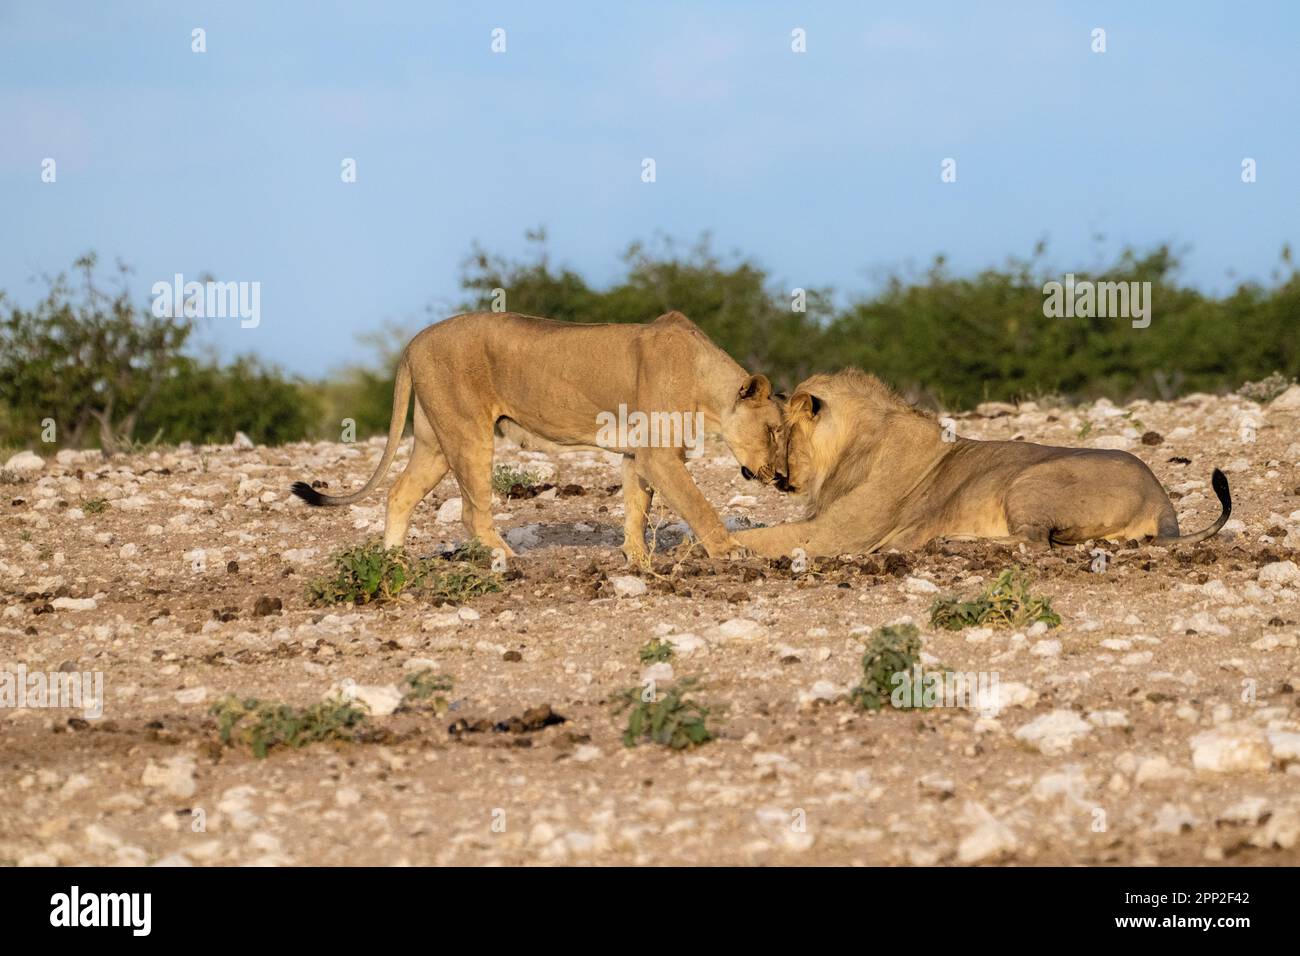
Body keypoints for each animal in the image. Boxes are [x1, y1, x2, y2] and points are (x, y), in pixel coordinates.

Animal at [291, 311, 785, 561]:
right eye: (774, 430)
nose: (780, 477)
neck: (707, 385)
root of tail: (413, 341)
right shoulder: (658, 454)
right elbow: (699, 506)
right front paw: (730, 549)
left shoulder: (637, 453)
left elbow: (635, 509)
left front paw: (638, 561)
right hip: (469, 432)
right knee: (471, 513)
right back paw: (508, 560)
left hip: (435, 440)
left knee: (399, 493)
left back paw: (392, 563)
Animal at [734, 368, 1231, 558]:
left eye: (779, 431)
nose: (758, 474)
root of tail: (1160, 496)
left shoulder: (837, 536)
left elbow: (766, 538)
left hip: (1029, 481)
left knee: (1034, 541)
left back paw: (953, 540)